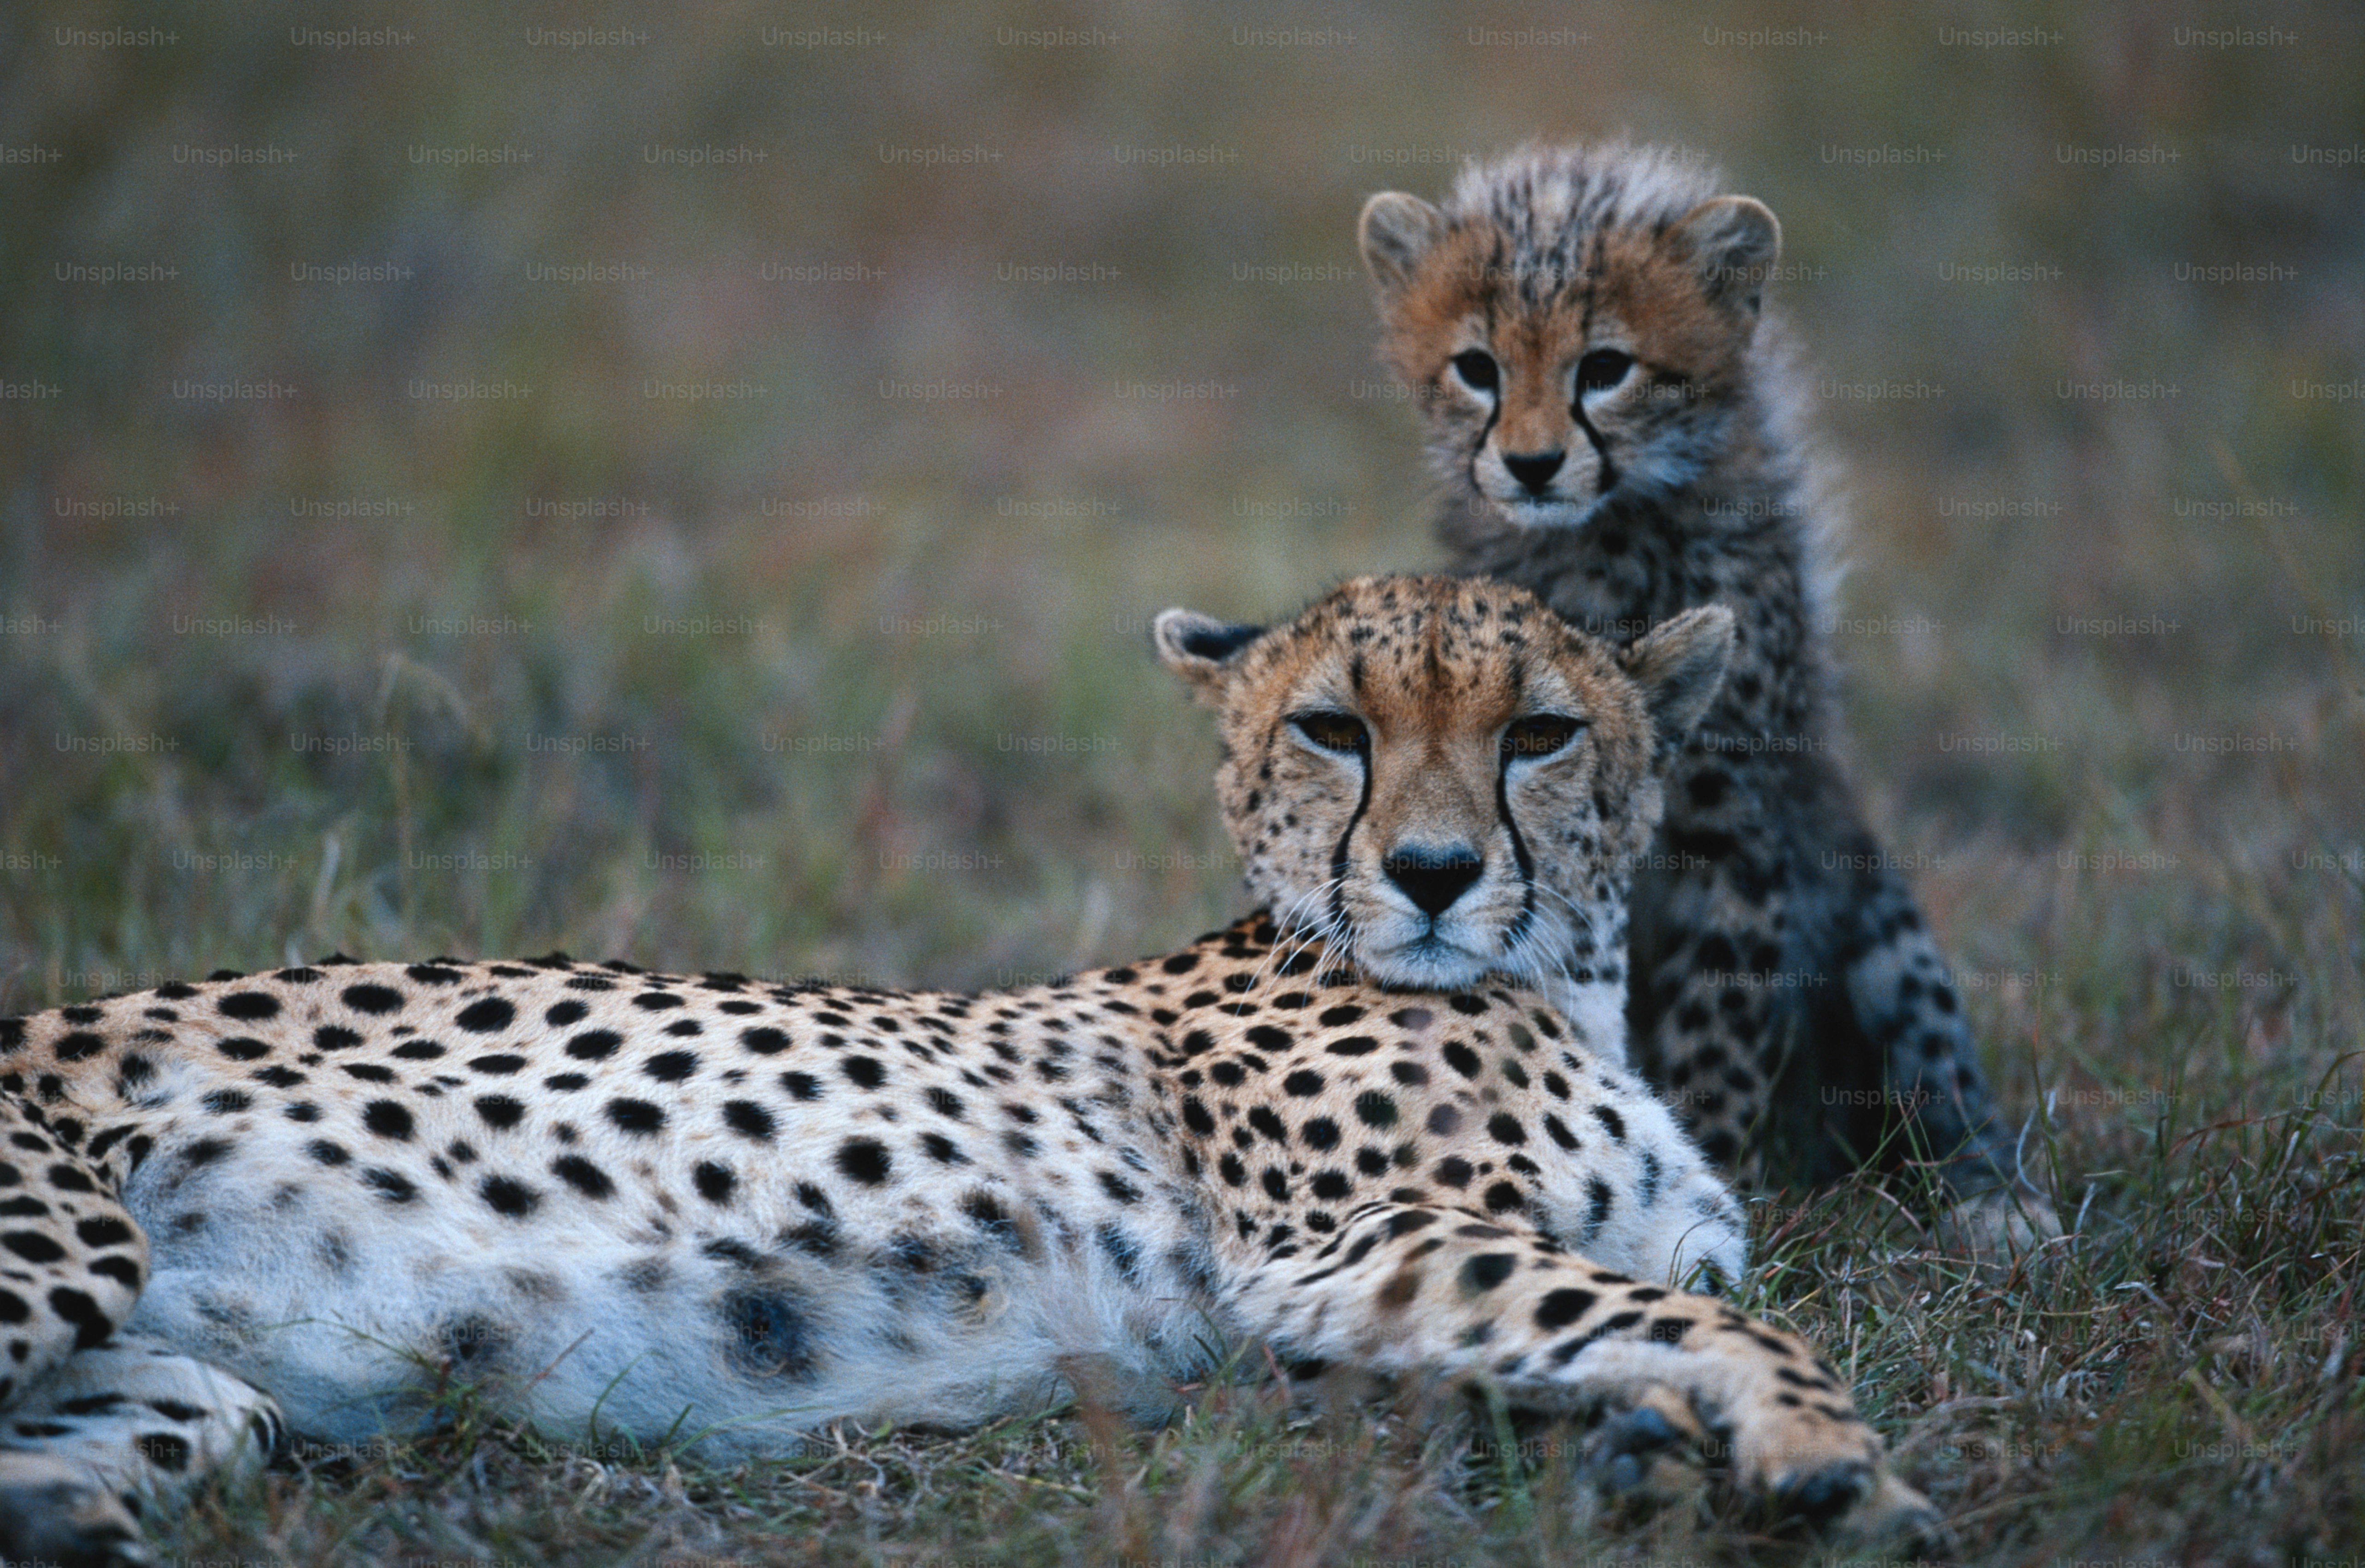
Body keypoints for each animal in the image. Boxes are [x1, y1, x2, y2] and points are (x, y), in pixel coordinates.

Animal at [0, 575, 1937, 1565]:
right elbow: (1731, 1324)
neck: (1561, 976)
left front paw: (1648, 1452)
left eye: (1539, 732)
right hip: (71, 1242)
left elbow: (1617, 1326)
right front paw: (1832, 1462)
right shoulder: (1340, 1246)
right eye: (1334, 729)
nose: (1435, 872)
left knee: (154, 1440)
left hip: (190, 1384)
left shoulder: (1325, 1315)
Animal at [1356, 141, 2059, 1250]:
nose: (1531, 463)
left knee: (1938, 1062)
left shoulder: (1732, 826)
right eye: (1477, 368)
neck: (1601, 549)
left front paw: (1706, 1176)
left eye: (1604, 367)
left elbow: (1719, 1026)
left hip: (1877, 918)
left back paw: (1994, 1193)